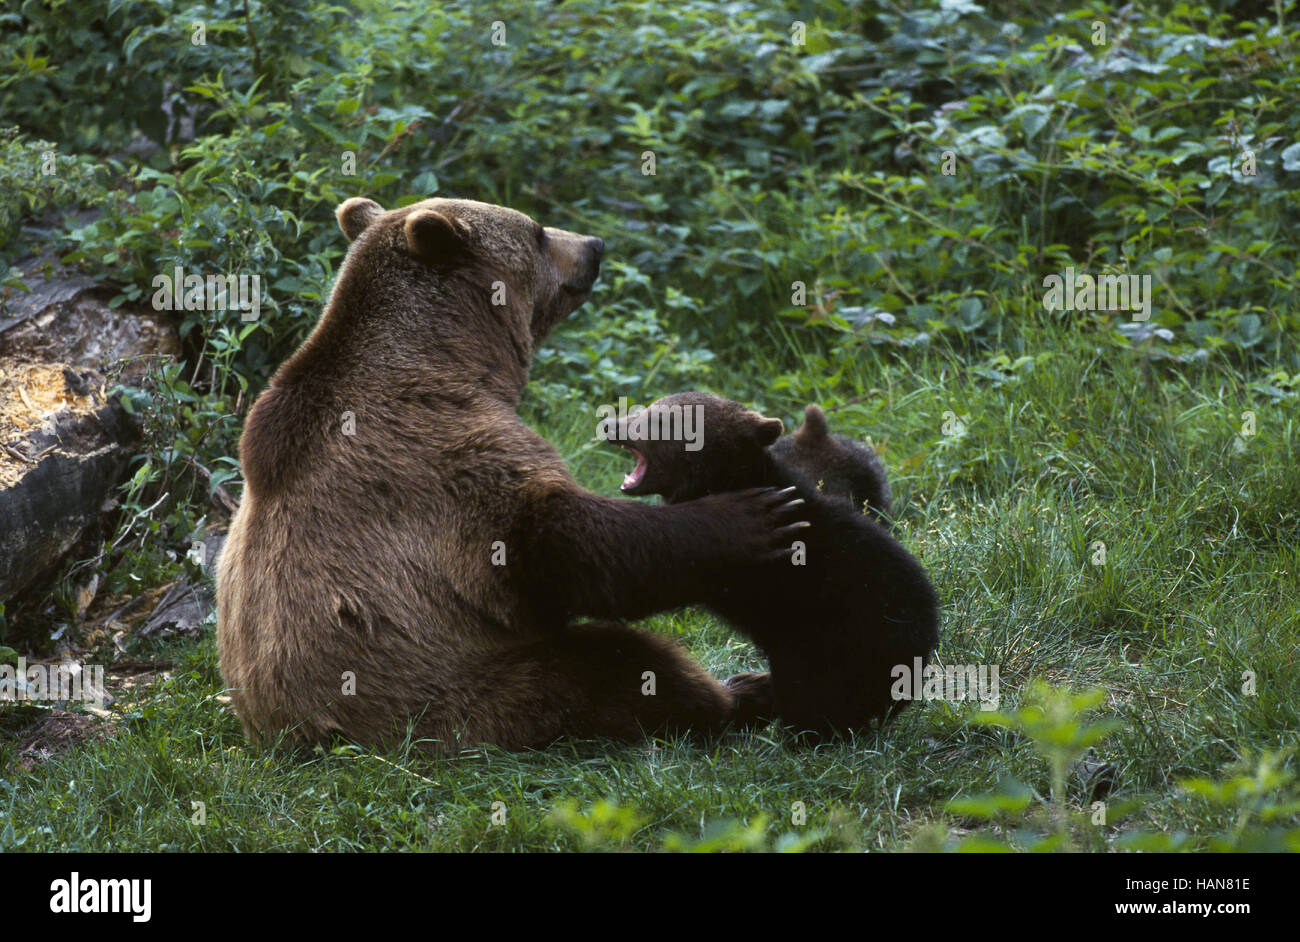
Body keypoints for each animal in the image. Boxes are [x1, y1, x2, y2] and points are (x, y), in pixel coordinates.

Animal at [216, 197, 808, 752]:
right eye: (539, 232)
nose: (594, 245)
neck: (460, 356)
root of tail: (290, 738)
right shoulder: (438, 453)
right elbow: (559, 543)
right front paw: (753, 519)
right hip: (466, 698)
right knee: (619, 665)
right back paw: (737, 694)